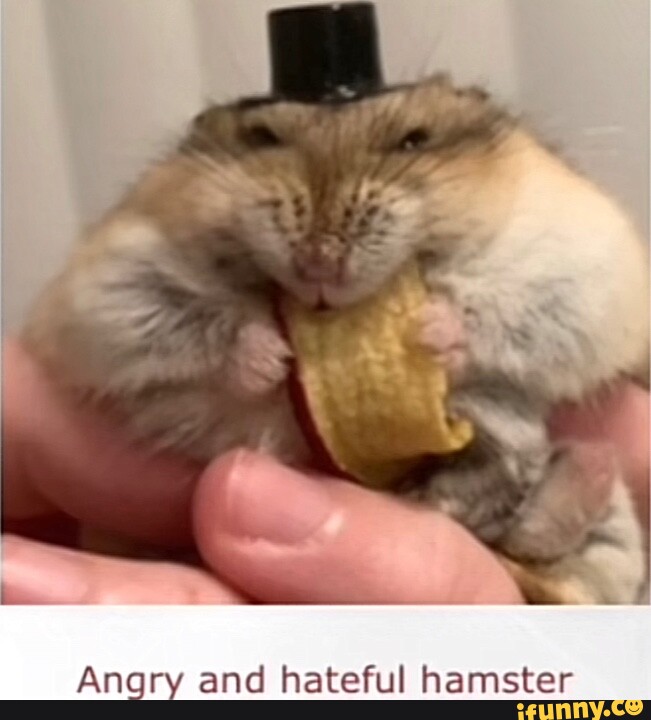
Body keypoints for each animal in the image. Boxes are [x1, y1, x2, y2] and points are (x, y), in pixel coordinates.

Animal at [22, 75, 649, 603]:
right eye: (263, 138)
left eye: (413, 141)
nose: (320, 260)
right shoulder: (115, 293)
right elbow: (202, 328)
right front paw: (272, 357)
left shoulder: (578, 268)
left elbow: (500, 311)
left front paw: (430, 330)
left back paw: (575, 469)